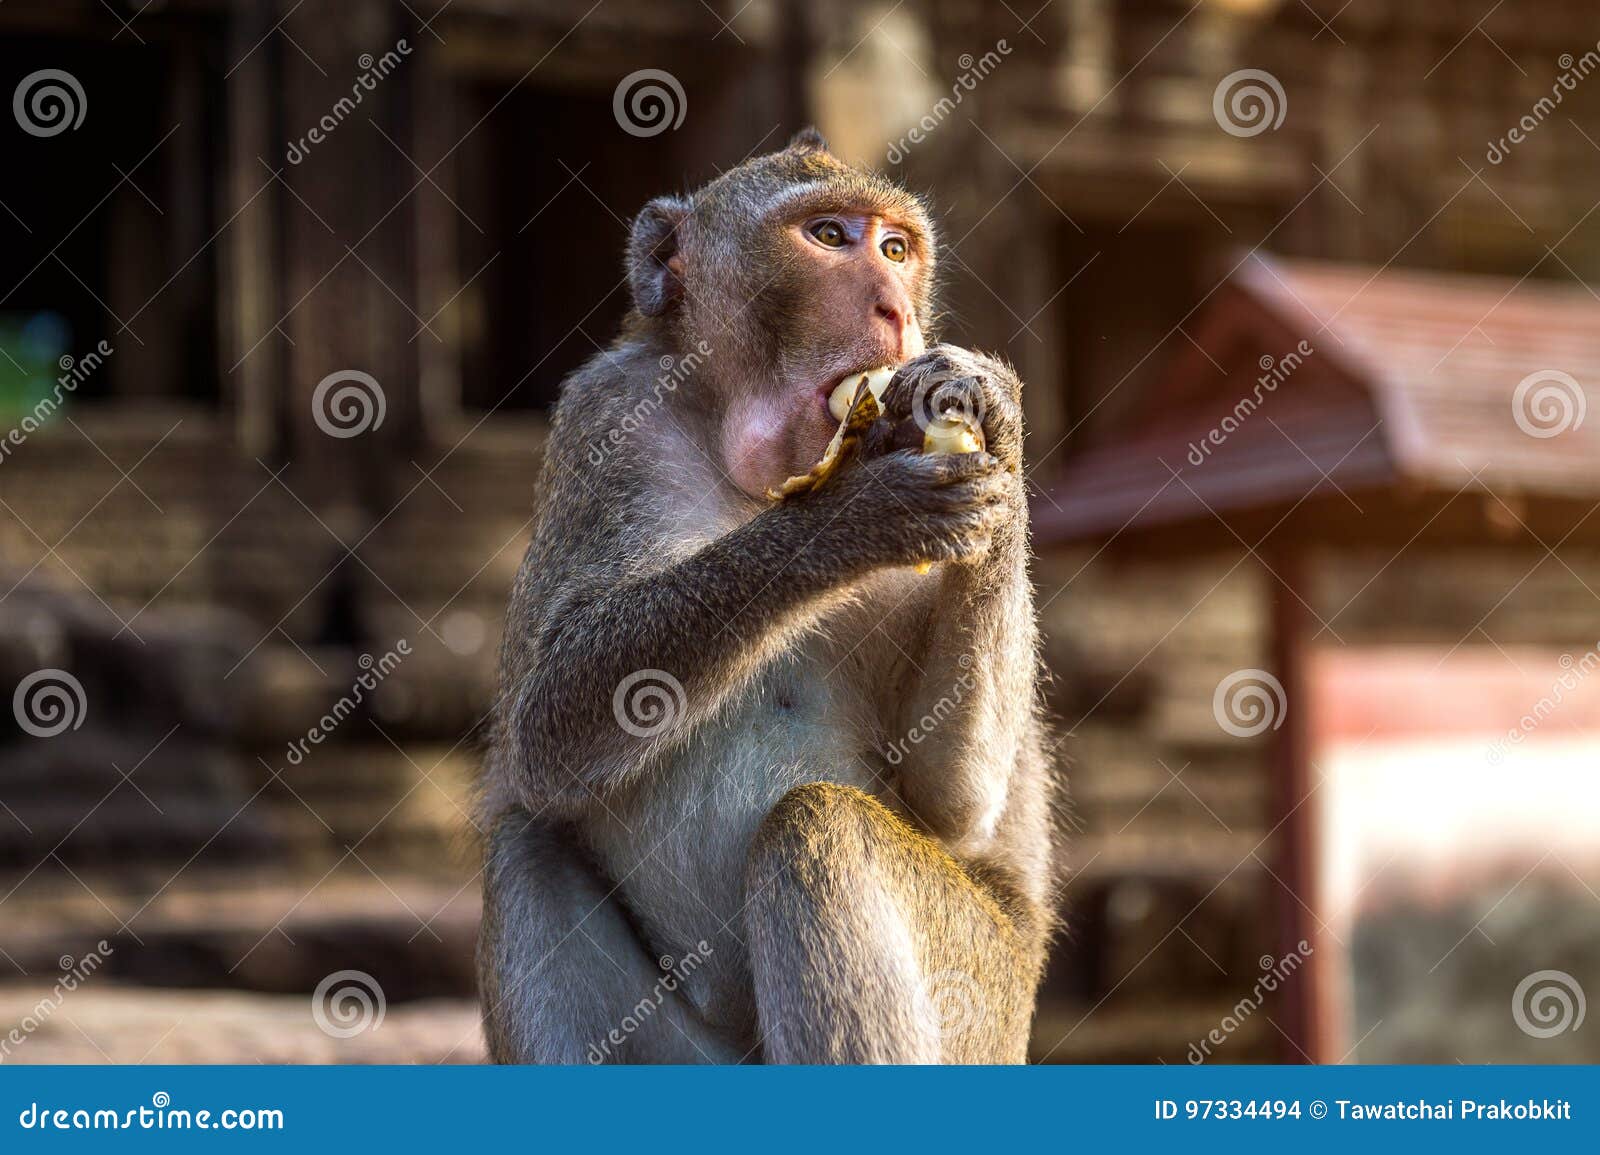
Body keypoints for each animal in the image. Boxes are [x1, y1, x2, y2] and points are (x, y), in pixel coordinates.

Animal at [477, 128, 1063, 1064]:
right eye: (828, 237)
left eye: (897, 249)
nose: (895, 309)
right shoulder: (603, 416)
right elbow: (547, 728)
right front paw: (857, 511)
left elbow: (956, 796)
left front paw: (994, 413)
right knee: (525, 843)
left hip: (984, 1001)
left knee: (819, 830)